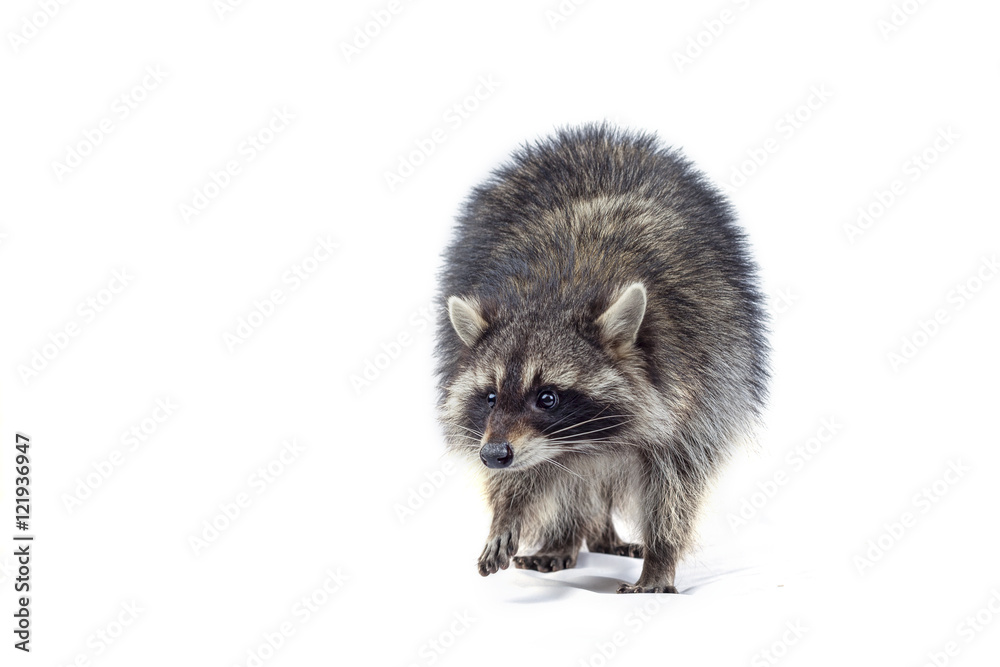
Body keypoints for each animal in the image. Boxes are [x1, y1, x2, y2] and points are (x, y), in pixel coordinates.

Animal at [434, 124, 769, 593]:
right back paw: (567, 534)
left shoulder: (703, 379)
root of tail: (601, 136)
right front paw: (507, 507)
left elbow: (676, 483)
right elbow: (535, 475)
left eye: (548, 397)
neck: (556, 294)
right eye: (490, 397)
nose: (494, 455)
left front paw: (661, 555)